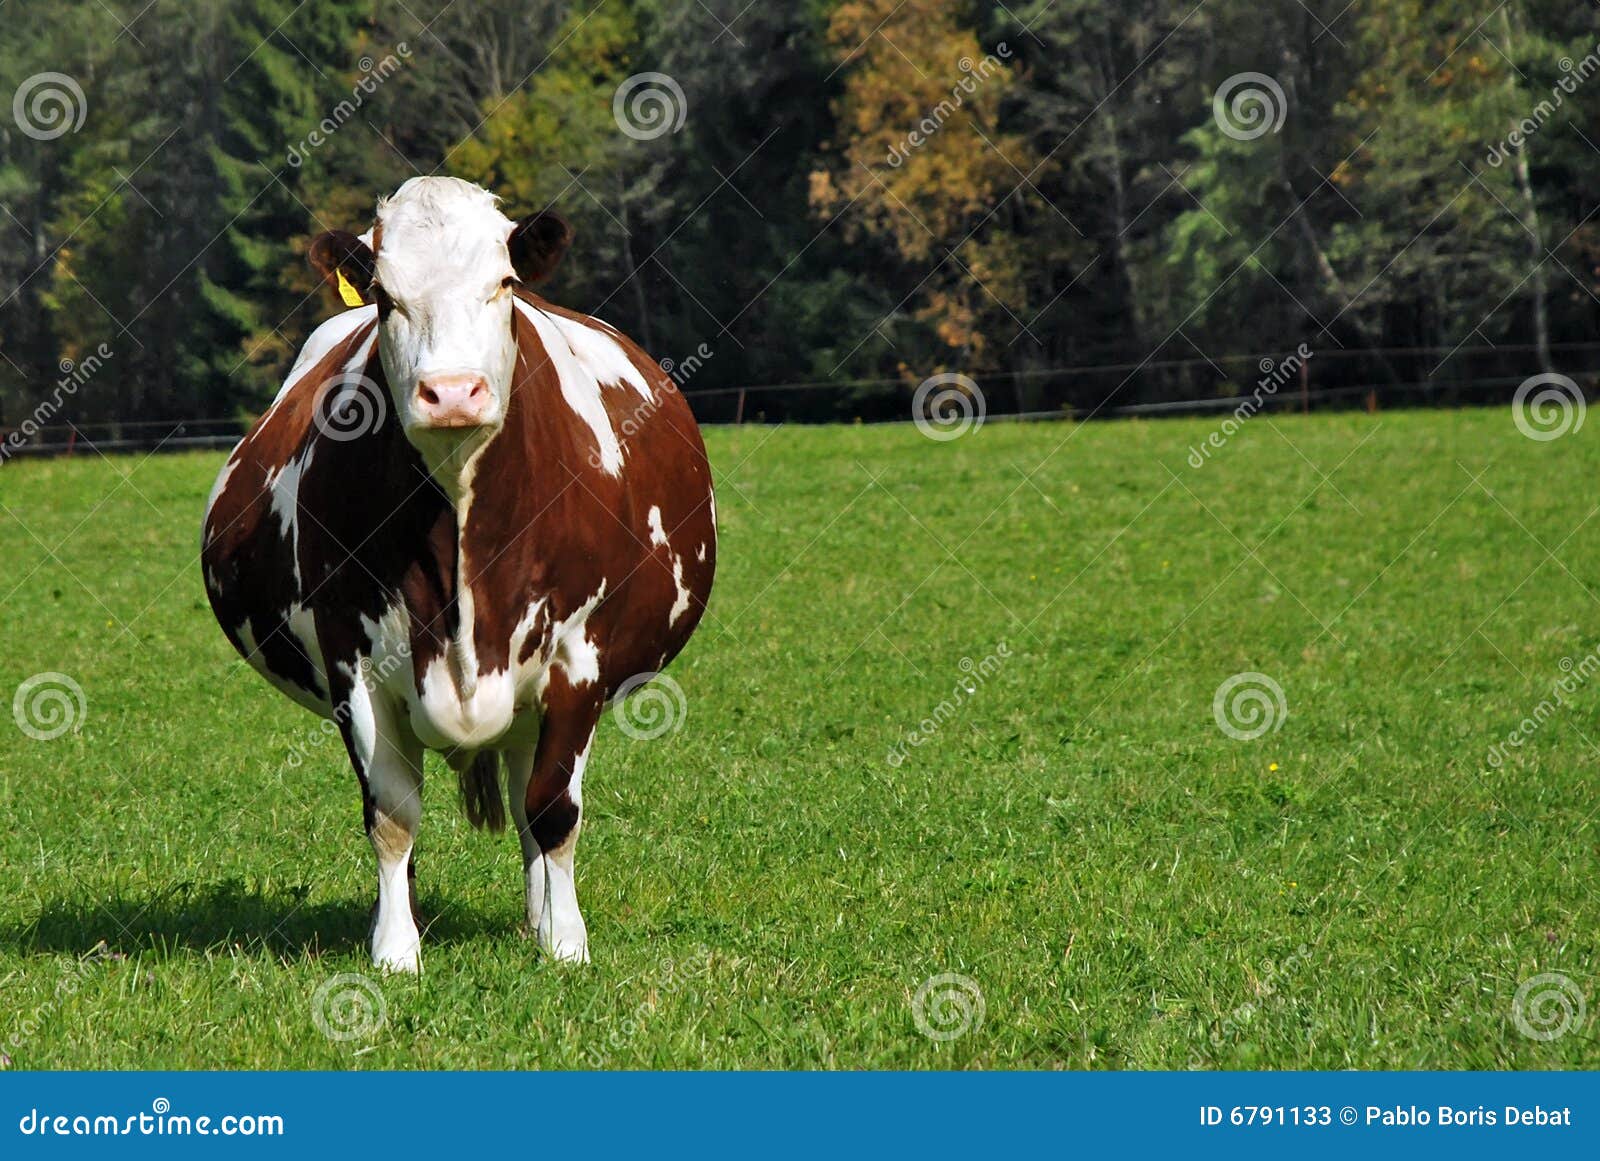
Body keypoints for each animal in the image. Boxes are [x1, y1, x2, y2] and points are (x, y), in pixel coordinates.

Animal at [201, 177, 716, 972]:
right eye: (386, 296)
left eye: (502, 283)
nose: (450, 393)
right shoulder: (352, 660)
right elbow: (391, 814)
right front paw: (395, 949)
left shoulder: (580, 658)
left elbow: (553, 809)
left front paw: (566, 942)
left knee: (532, 800)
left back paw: (539, 917)